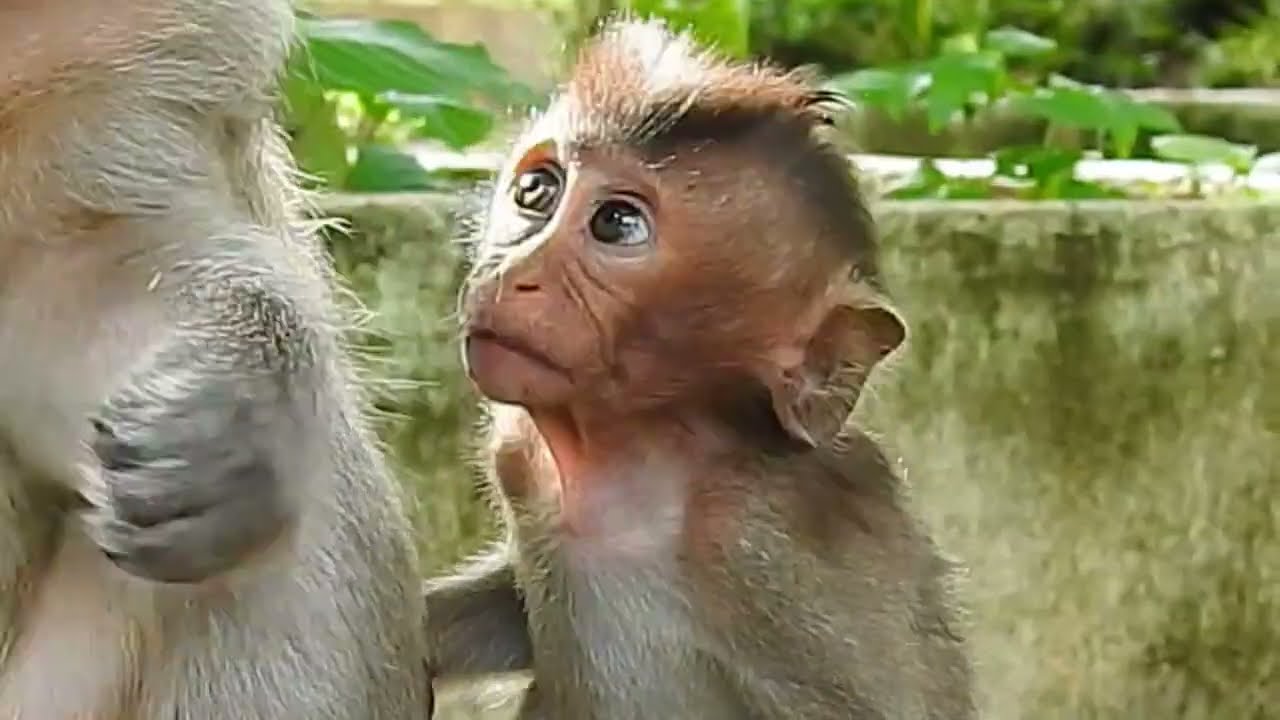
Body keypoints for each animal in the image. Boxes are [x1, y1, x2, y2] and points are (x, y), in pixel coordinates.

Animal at [422, 17, 977, 720]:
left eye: (617, 223)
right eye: (537, 191)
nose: (512, 272)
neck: (632, 459)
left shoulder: (761, 550)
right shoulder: (521, 460)